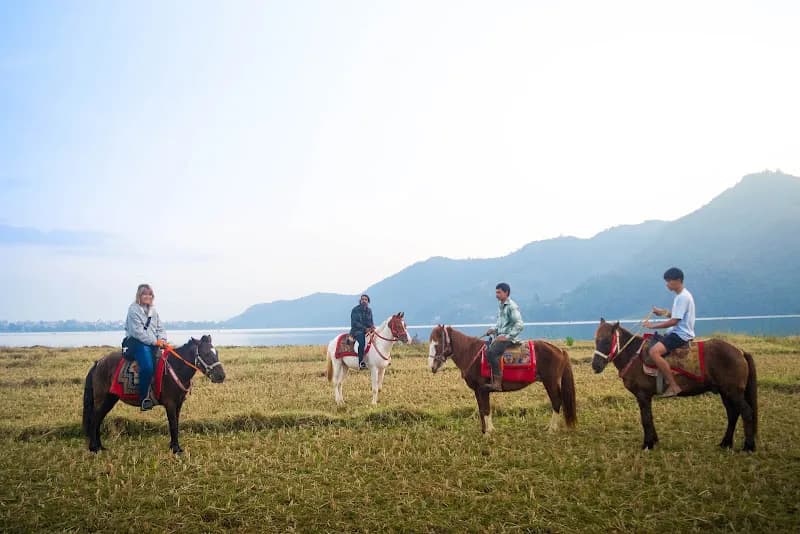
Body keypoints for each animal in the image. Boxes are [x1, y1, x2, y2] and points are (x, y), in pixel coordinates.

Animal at [82, 336, 225, 454]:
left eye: (216, 353)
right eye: (206, 353)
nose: (221, 376)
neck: (175, 369)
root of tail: (98, 363)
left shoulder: (178, 403)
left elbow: (176, 423)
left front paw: (174, 446)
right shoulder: (170, 403)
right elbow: (173, 425)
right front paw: (176, 449)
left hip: (110, 399)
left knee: (98, 420)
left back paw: (100, 446)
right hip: (101, 399)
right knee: (94, 420)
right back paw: (94, 448)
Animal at [428, 325, 577, 434]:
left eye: (437, 344)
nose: (431, 366)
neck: (472, 354)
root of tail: (559, 350)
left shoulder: (483, 389)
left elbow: (486, 409)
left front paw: (489, 432)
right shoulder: (477, 391)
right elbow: (482, 409)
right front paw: (484, 431)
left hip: (550, 382)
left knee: (557, 402)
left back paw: (551, 428)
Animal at [591, 319, 758, 451]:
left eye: (606, 341)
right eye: (596, 340)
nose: (595, 366)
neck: (634, 356)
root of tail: (740, 351)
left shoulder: (643, 395)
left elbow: (645, 419)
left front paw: (647, 444)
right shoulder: (646, 397)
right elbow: (650, 418)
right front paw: (654, 441)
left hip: (733, 392)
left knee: (746, 412)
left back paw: (748, 446)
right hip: (725, 392)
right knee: (733, 414)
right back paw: (725, 443)